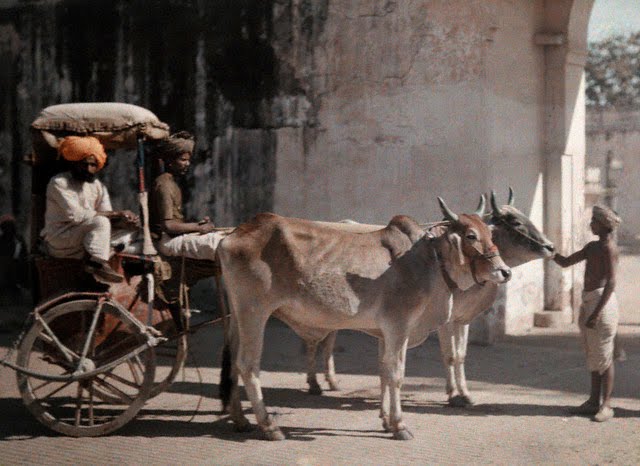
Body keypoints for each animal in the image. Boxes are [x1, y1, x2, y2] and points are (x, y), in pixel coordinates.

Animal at [217, 198, 511, 440]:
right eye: (471, 235)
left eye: (490, 233)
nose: (505, 271)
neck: (429, 261)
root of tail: (232, 237)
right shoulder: (398, 327)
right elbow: (396, 375)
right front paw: (400, 426)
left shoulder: (384, 332)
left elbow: (383, 372)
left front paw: (386, 421)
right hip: (255, 312)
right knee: (248, 365)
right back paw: (269, 426)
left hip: (238, 316)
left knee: (233, 363)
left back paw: (241, 420)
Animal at [302, 190, 555, 409]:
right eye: (515, 222)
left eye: (490, 233)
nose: (550, 246)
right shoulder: (445, 320)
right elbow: (449, 355)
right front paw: (453, 395)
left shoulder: (462, 319)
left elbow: (461, 355)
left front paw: (465, 393)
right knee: (317, 340)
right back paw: (315, 383)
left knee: (328, 338)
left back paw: (331, 381)